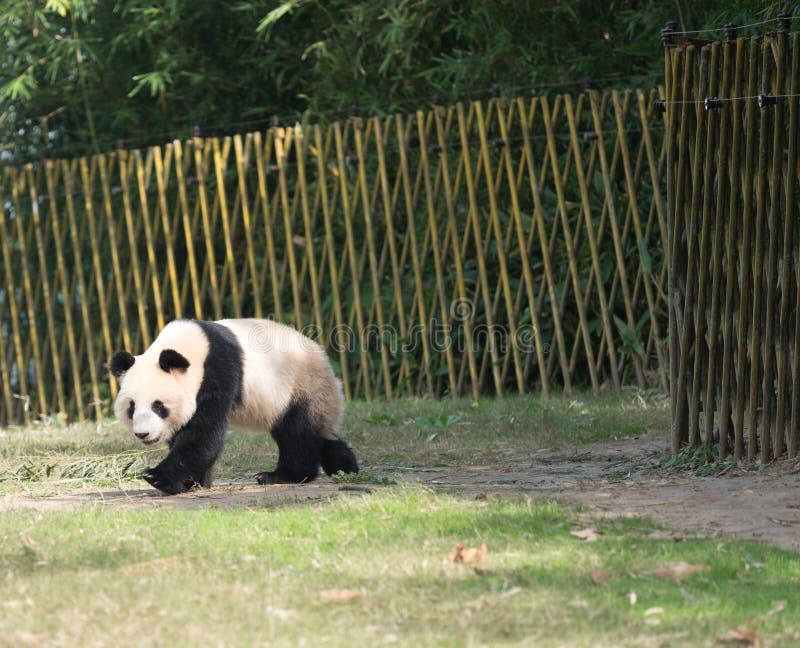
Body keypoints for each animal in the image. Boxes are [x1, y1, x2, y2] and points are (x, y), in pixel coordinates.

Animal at [109, 318, 358, 495]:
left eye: (158, 406)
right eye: (132, 407)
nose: (143, 434)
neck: (193, 345)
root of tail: (324, 358)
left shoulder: (219, 369)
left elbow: (204, 432)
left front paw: (157, 477)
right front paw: (194, 482)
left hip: (300, 385)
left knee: (297, 433)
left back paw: (282, 476)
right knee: (321, 433)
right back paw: (345, 467)